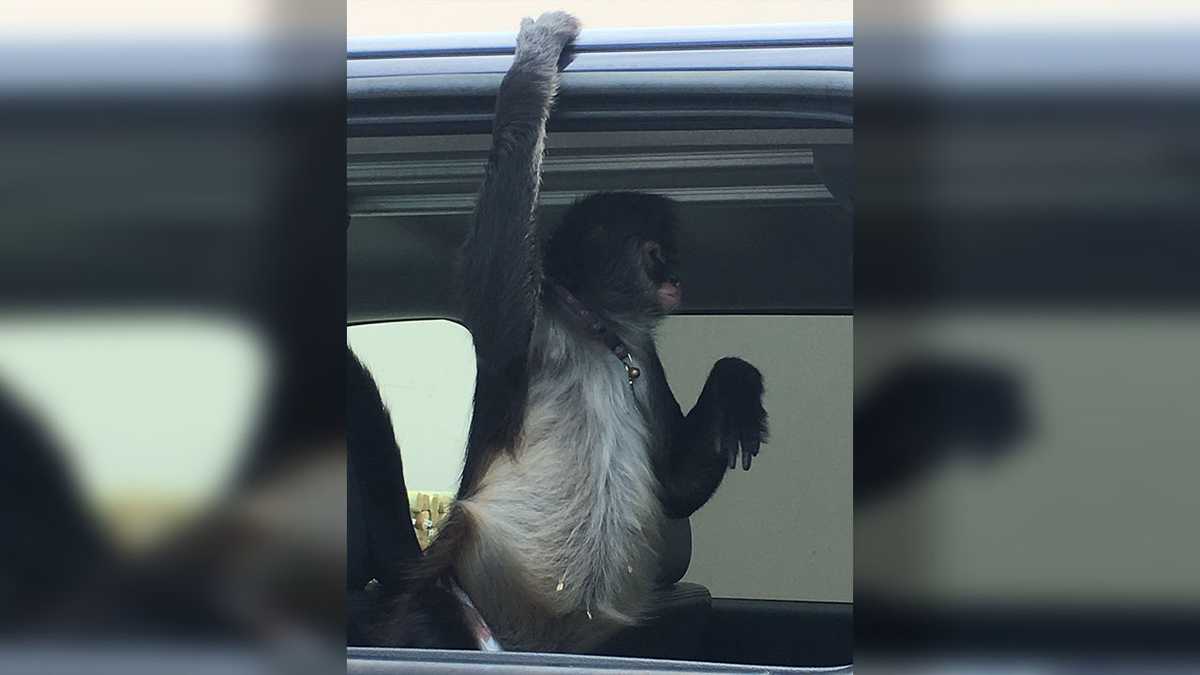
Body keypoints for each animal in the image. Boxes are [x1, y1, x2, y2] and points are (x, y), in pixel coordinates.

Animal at [353, 11, 768, 653]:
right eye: (656, 256)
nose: (677, 278)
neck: (592, 329)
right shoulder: (531, 324)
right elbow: (492, 275)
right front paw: (532, 67)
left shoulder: (640, 351)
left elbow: (673, 488)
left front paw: (735, 384)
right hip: (450, 602)